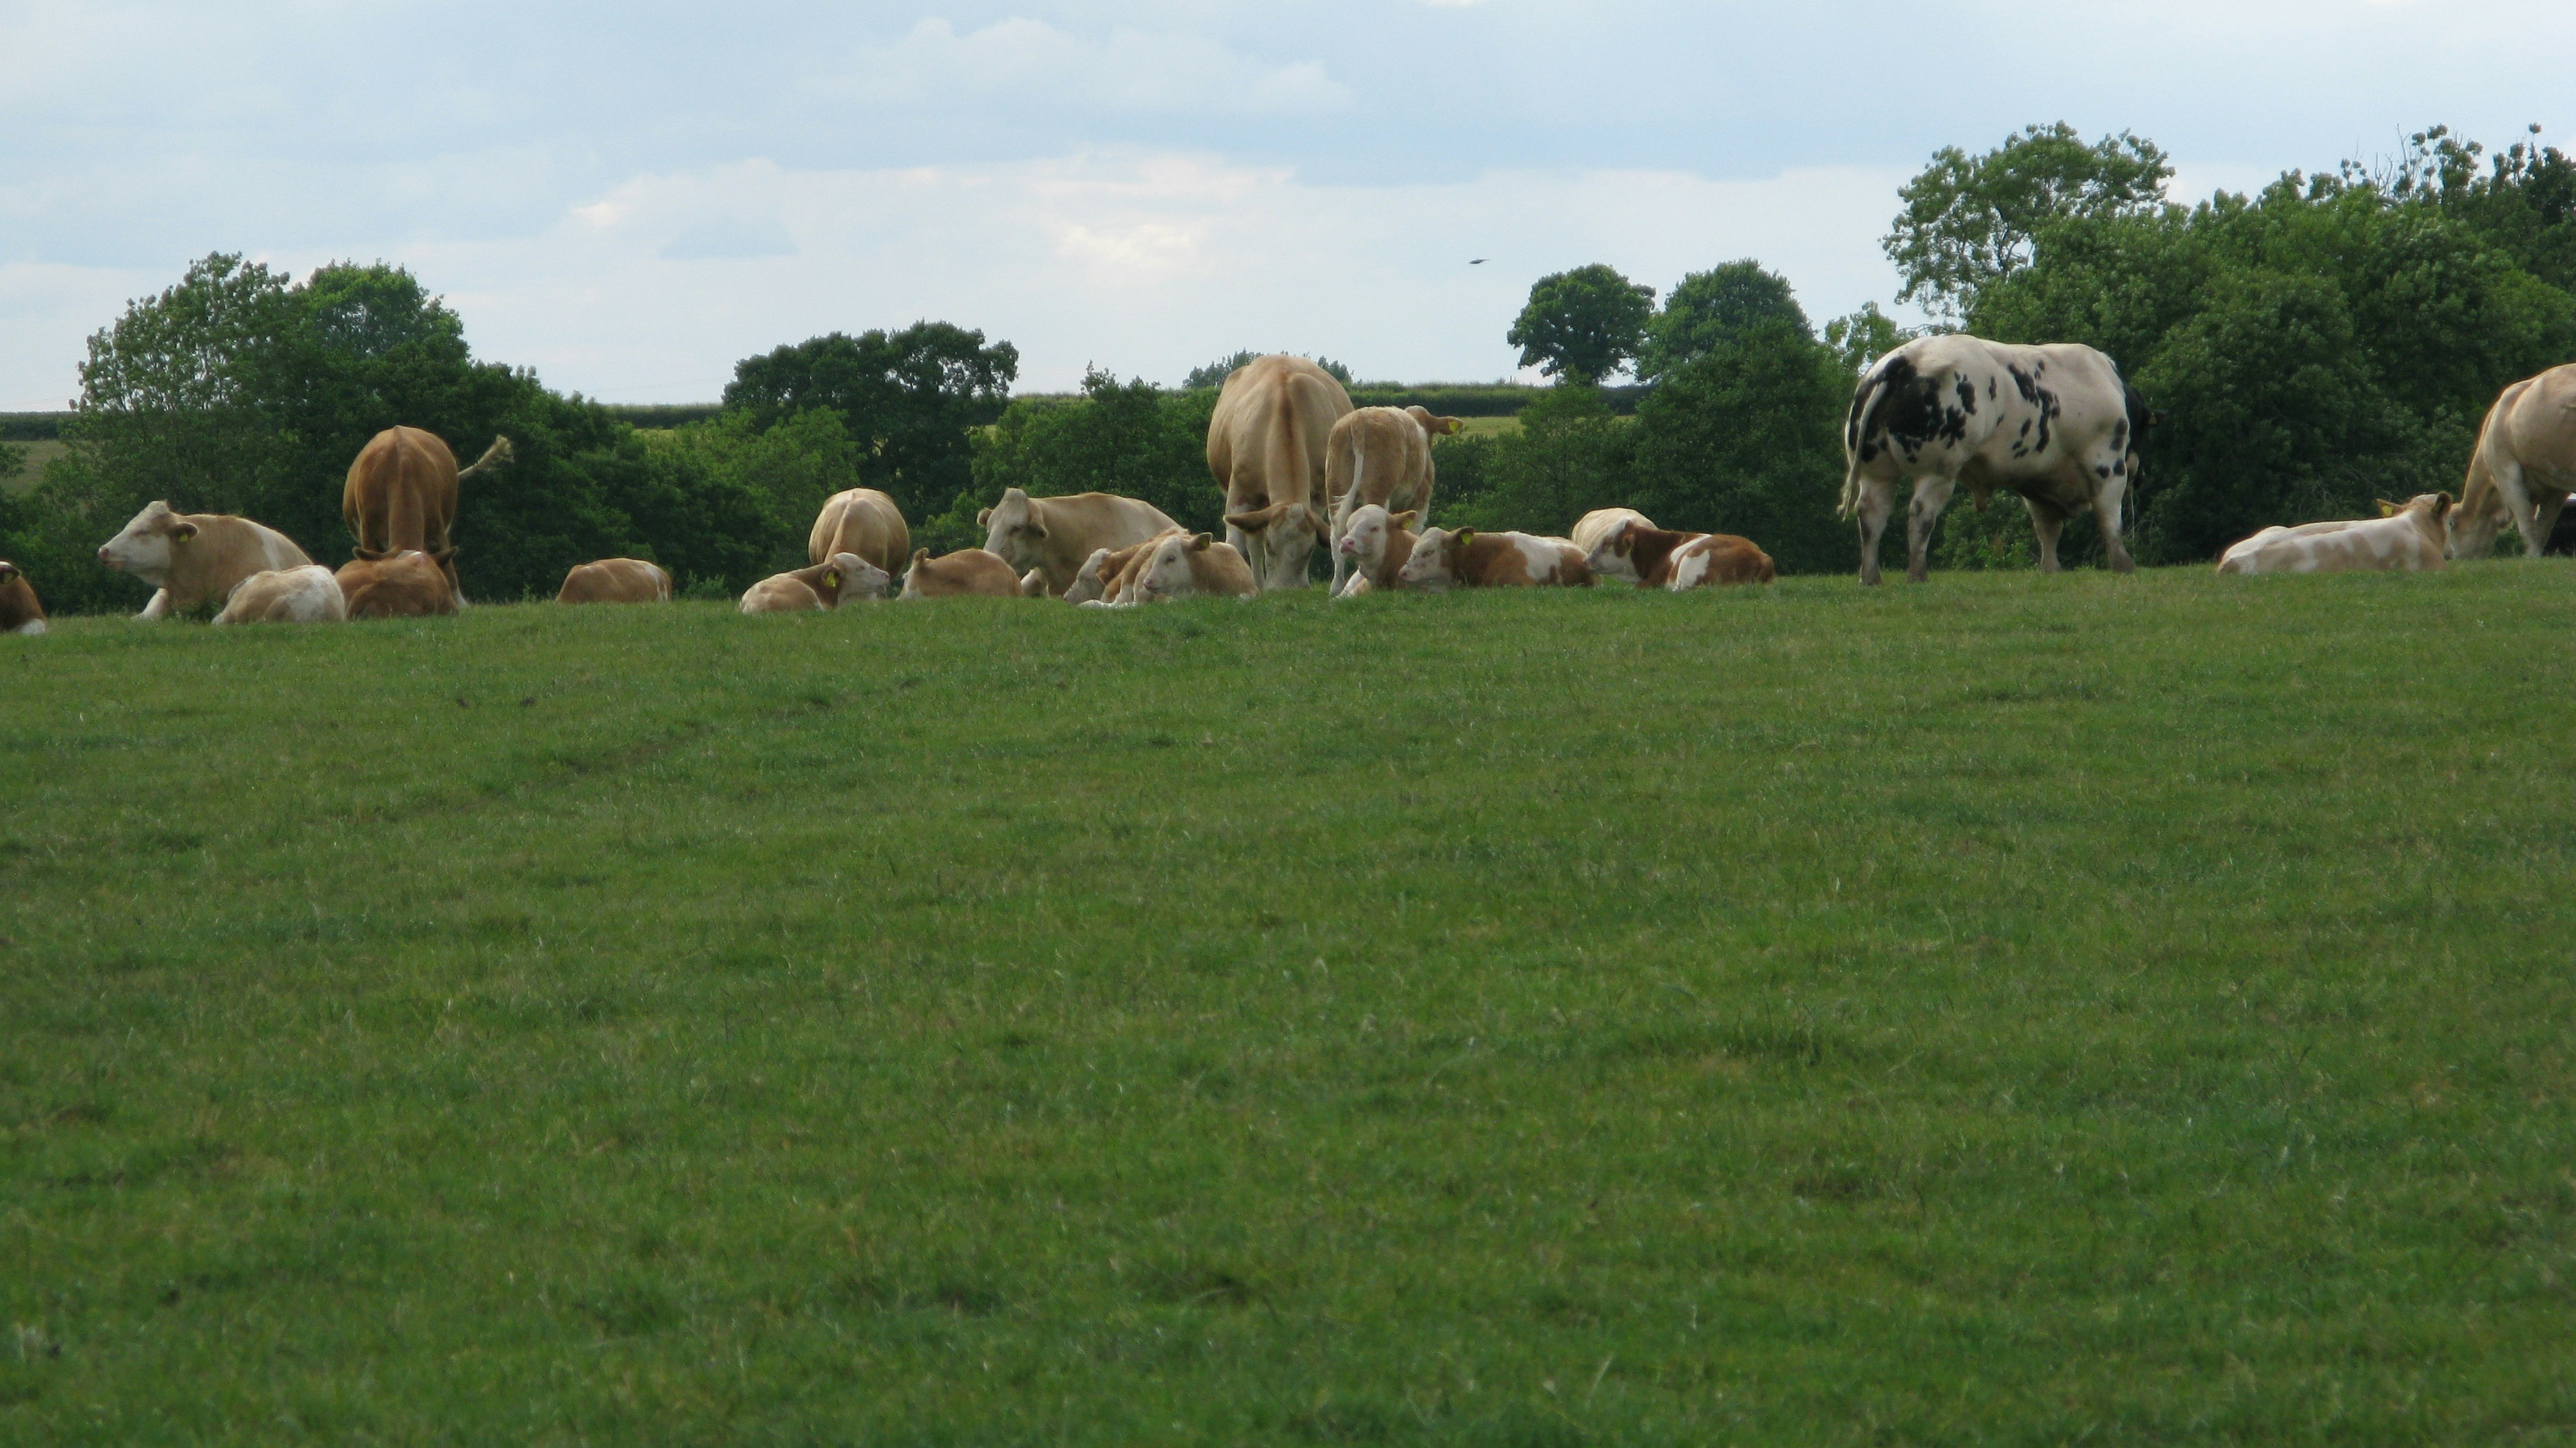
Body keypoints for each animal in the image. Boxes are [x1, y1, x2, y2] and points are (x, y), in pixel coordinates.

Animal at [1209, 355, 1354, 591]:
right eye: (1270, 545)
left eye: (1310, 550)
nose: (1285, 590)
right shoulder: (1240, 491)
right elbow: (1237, 542)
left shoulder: (1318, 495)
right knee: (1253, 541)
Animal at [1840, 335, 2142, 583]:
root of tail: (1905, 360)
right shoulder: (2106, 462)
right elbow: (2109, 517)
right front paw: (2124, 565)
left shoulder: (2038, 479)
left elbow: (2047, 527)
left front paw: (2051, 569)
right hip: (1938, 469)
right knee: (1921, 513)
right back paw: (1918, 574)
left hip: (1877, 471)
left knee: (1871, 514)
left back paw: (1870, 577)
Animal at [2447, 363, 2576, 560]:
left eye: (2452, 528)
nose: (2452, 558)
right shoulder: (2555, 486)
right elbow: (2544, 527)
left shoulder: (2506, 475)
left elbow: (2527, 525)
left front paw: (2532, 559)